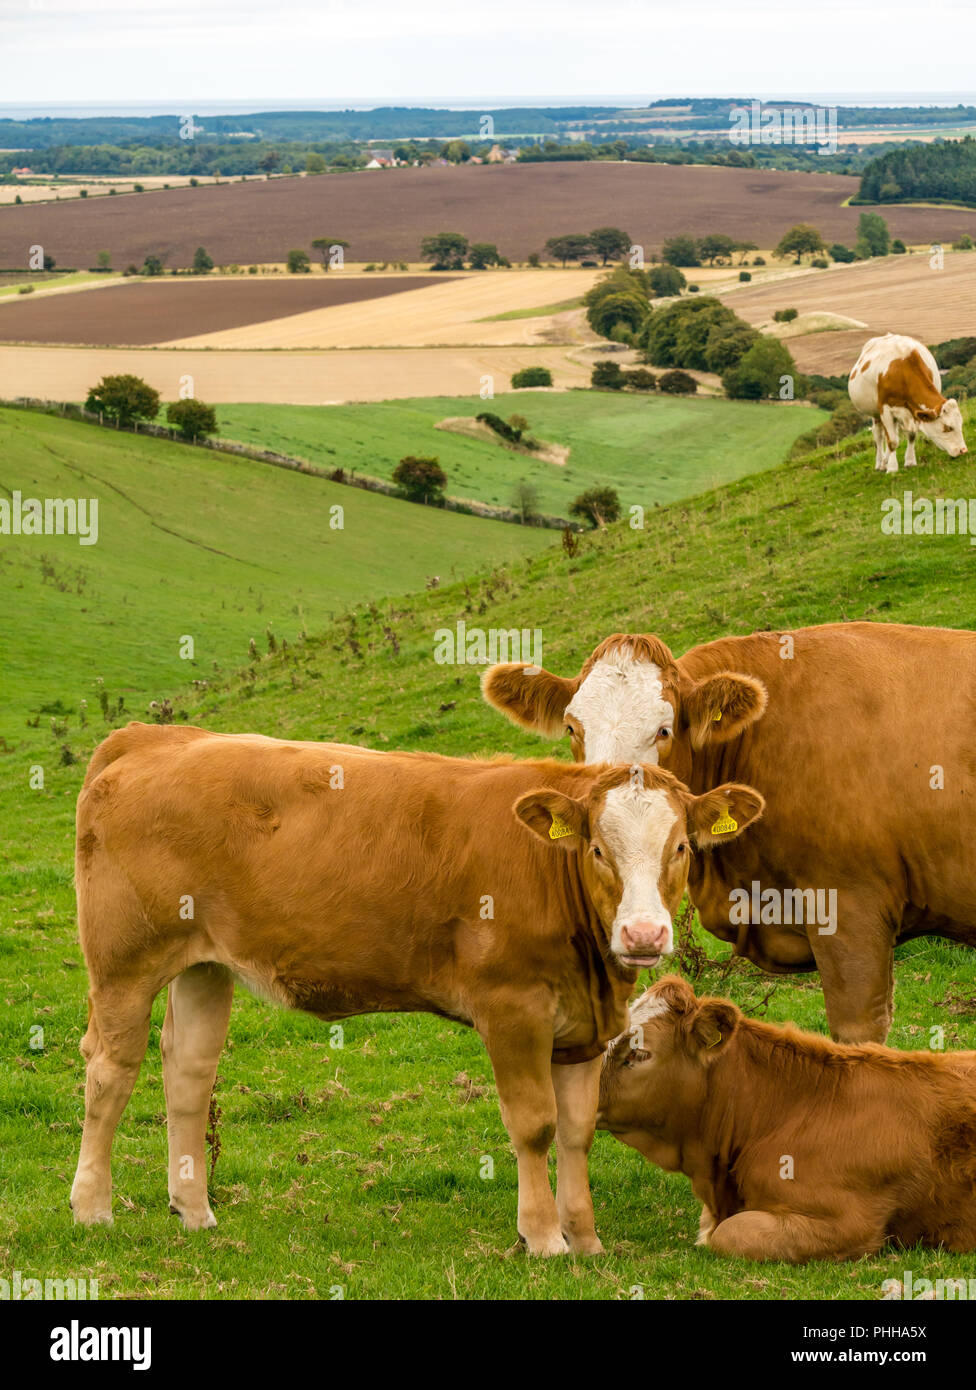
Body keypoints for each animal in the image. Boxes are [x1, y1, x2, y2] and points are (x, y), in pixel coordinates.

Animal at [69, 721, 763, 1256]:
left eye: (682, 847)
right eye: (596, 848)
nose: (644, 934)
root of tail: (157, 736)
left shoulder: (584, 1028)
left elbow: (576, 1130)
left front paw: (586, 1239)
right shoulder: (512, 1007)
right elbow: (534, 1125)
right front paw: (542, 1238)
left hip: (204, 965)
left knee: (188, 1072)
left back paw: (194, 1211)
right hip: (124, 963)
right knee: (109, 1070)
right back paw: (92, 1208)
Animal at [848, 332, 967, 472]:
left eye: (960, 424)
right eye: (948, 427)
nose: (963, 450)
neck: (902, 369)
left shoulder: (914, 411)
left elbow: (911, 434)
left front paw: (909, 461)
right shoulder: (885, 409)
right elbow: (893, 441)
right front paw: (892, 468)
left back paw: (885, 461)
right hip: (874, 412)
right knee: (879, 435)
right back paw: (880, 463)